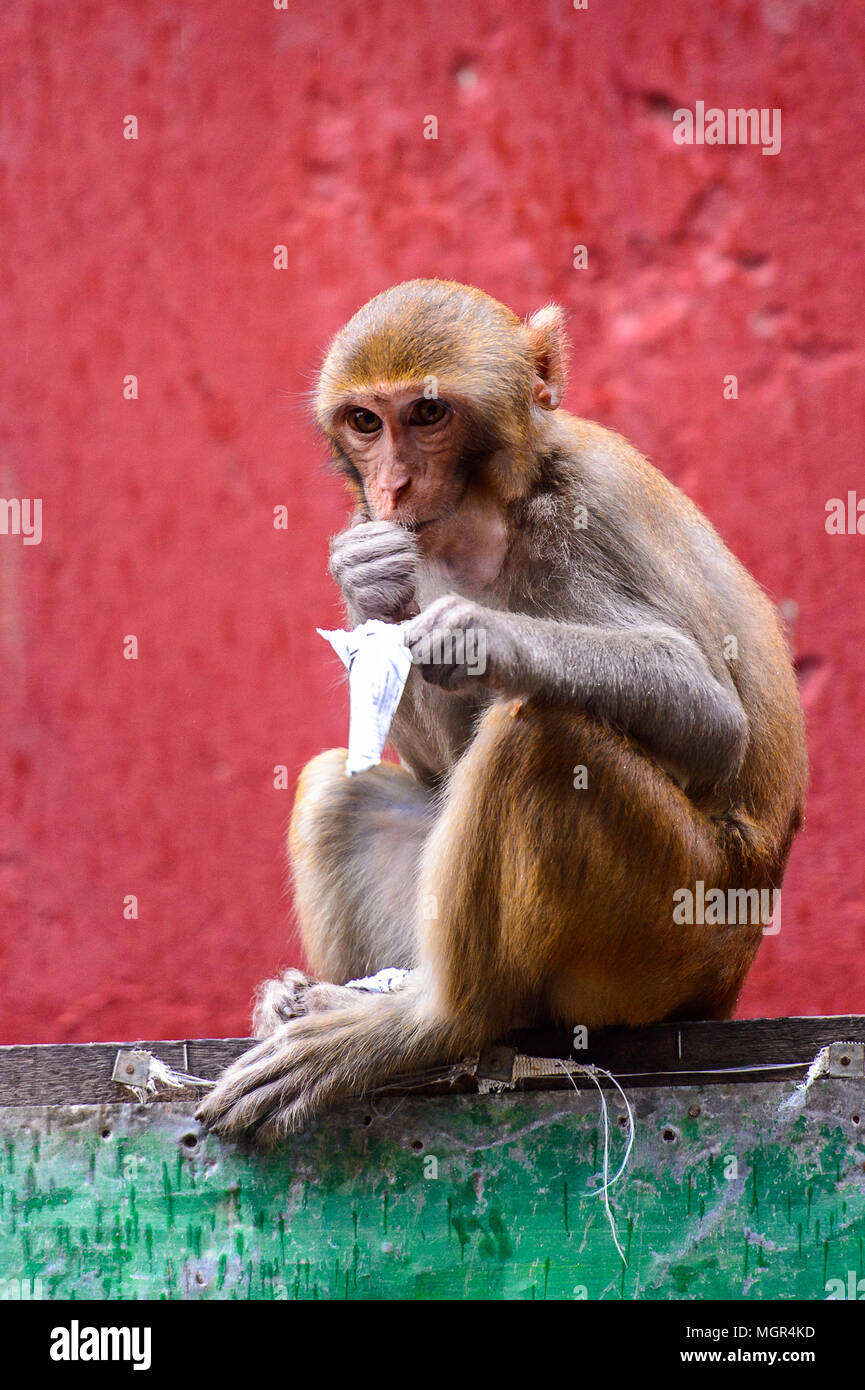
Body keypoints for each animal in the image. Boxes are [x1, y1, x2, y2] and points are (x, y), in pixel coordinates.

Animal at [196, 278, 807, 1144]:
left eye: (427, 413)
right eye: (365, 422)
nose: (391, 487)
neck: (489, 506)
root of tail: (732, 970)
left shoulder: (585, 513)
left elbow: (711, 719)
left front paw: (479, 637)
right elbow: (433, 762)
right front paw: (363, 582)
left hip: (671, 940)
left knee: (546, 739)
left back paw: (430, 1021)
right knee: (338, 788)